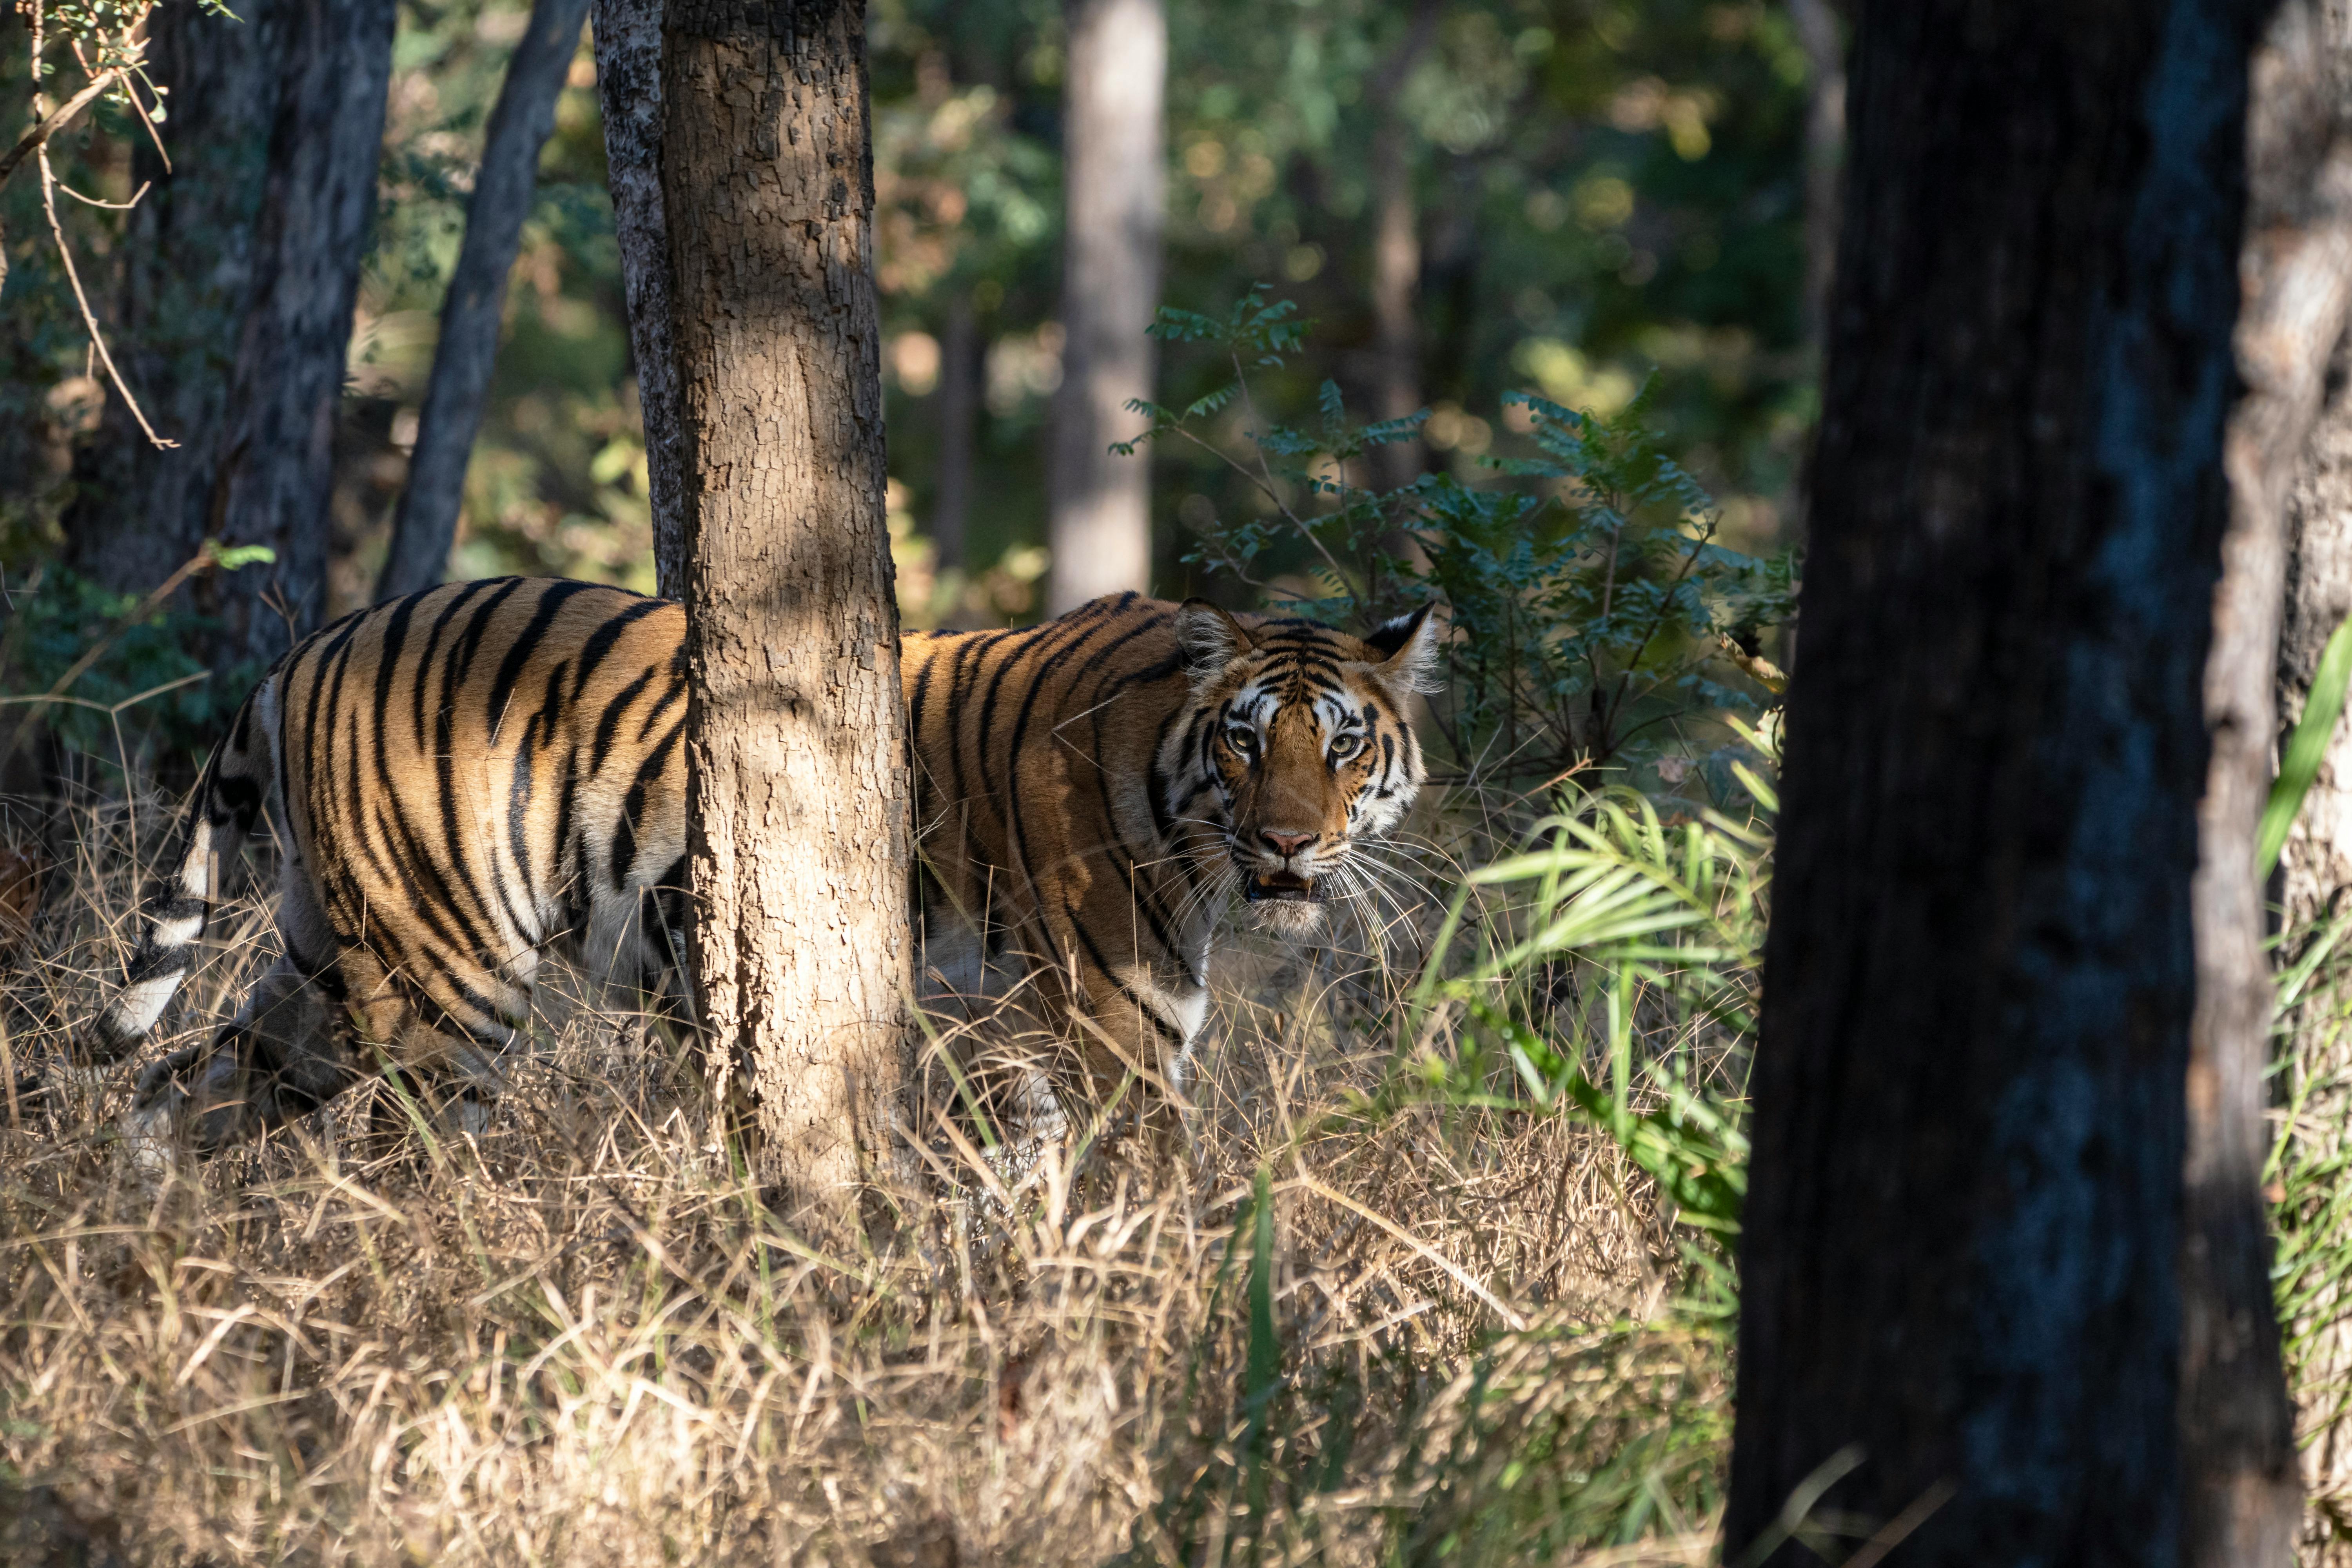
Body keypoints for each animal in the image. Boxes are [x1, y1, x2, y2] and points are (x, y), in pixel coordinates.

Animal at [56, 577, 1440, 1154]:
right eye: (1245, 740)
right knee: (407, 1160)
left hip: (322, 969)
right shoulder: (1118, 1035)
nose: (1288, 841)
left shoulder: (1015, 1053)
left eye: (1344, 744)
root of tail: (313, 646)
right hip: (445, 977)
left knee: (176, 1086)